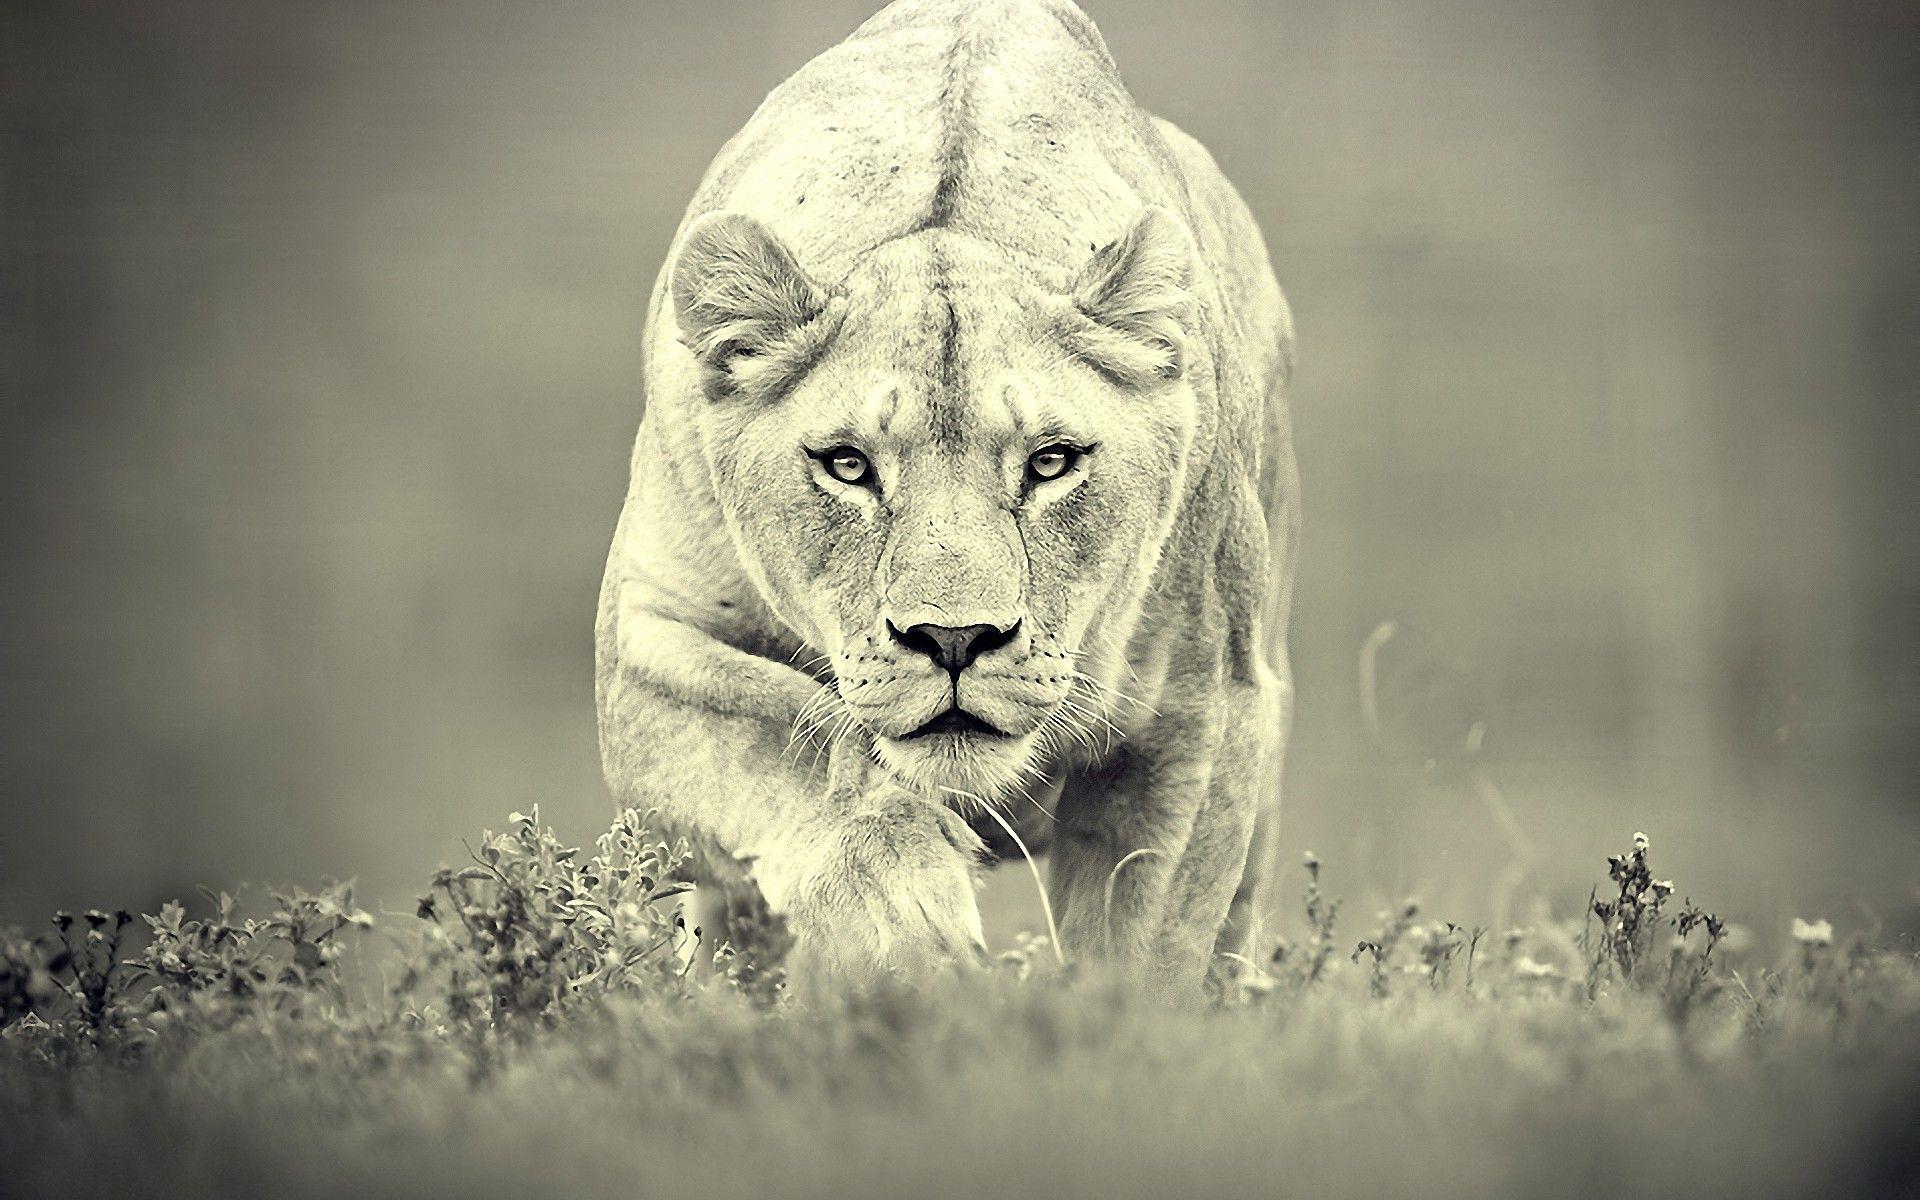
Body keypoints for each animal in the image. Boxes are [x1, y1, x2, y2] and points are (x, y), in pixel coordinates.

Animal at [595, 0, 1297, 998]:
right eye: (848, 466)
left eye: (1051, 462)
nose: (955, 639)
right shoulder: (645, 647)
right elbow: (798, 740)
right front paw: (906, 928)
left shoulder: (1203, 713)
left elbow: (1145, 952)